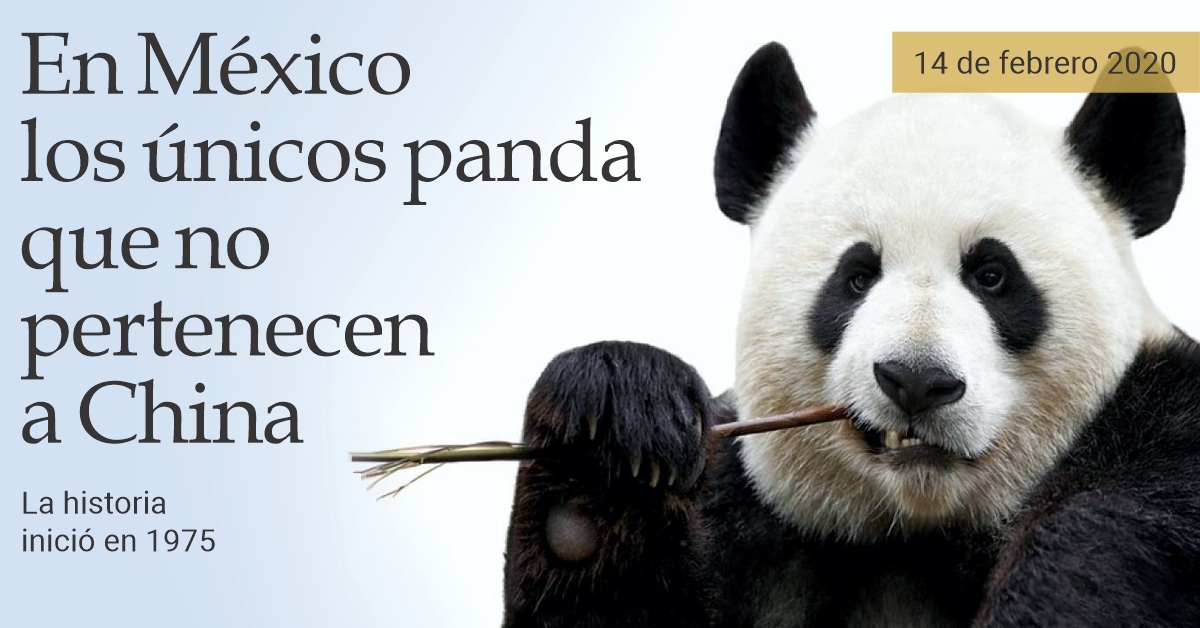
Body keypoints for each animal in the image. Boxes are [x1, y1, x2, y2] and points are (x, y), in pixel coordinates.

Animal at [500, 42, 1199, 628]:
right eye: (857, 276)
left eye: (993, 275)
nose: (916, 381)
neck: (913, 531)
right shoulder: (751, 515)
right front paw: (610, 440)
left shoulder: (1163, 431)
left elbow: (1102, 544)